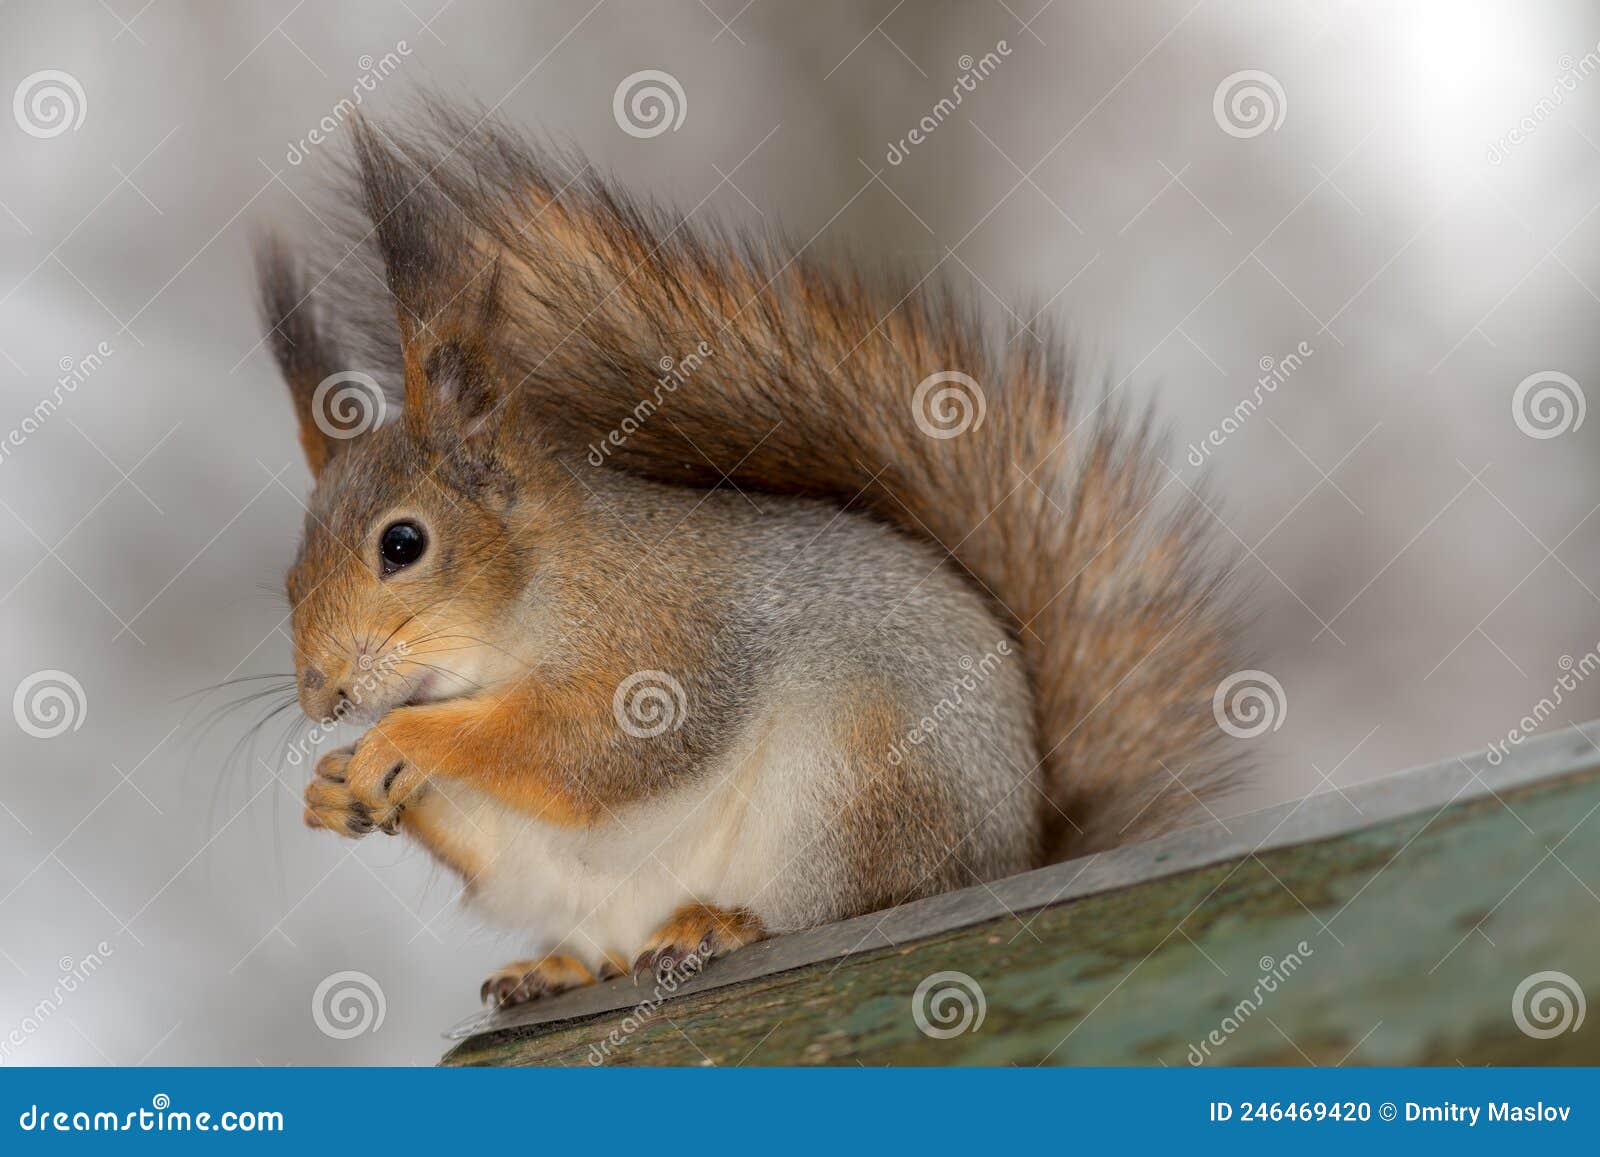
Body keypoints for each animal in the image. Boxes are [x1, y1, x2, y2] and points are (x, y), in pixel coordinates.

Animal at [254, 108, 1242, 1007]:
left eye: (403, 543)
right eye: (289, 575)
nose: (321, 694)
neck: (523, 602)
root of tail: (1017, 851)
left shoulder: (661, 640)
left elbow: (588, 750)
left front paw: (406, 740)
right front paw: (332, 787)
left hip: (857, 781)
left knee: (850, 898)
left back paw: (720, 923)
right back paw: (558, 967)